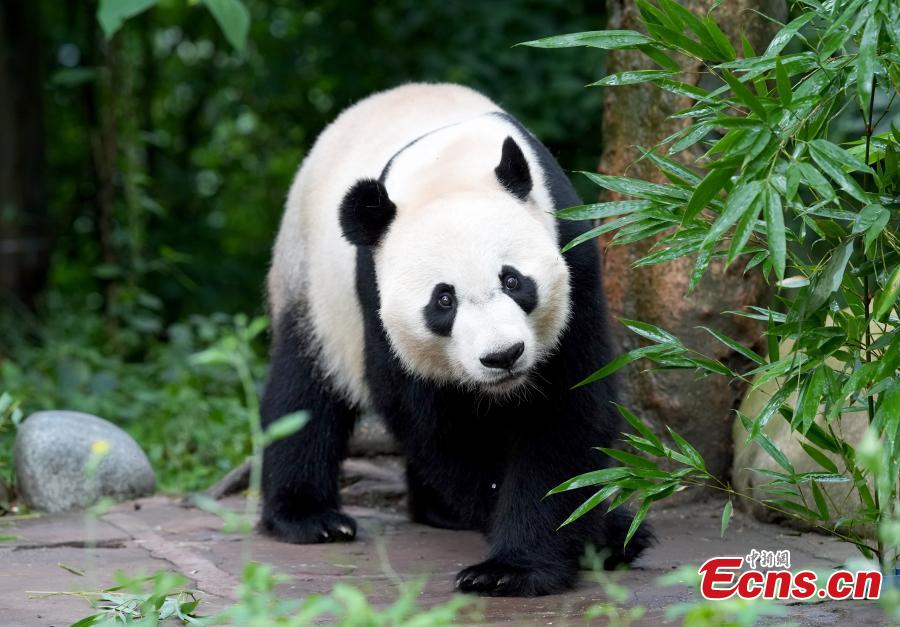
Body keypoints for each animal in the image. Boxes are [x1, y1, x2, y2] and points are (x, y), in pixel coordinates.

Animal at [261, 83, 652, 596]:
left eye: (513, 280)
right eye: (443, 300)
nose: (503, 356)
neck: (448, 169)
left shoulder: (574, 261)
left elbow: (567, 412)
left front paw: (528, 561)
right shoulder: (375, 294)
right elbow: (435, 427)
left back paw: (435, 511)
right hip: (312, 279)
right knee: (303, 390)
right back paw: (311, 518)